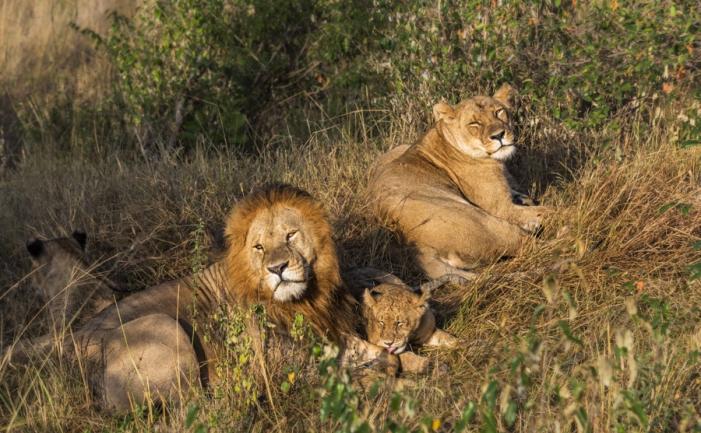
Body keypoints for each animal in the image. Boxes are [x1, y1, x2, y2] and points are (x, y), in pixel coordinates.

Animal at [7, 185, 391, 412]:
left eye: (291, 235)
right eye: (259, 247)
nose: (278, 268)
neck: (308, 297)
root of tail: (72, 342)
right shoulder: (285, 361)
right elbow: (359, 361)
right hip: (164, 328)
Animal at [367, 84, 550, 280]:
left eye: (498, 112)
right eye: (474, 124)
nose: (499, 135)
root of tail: (415, 249)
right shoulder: (501, 208)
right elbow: (550, 210)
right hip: (484, 222)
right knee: (530, 242)